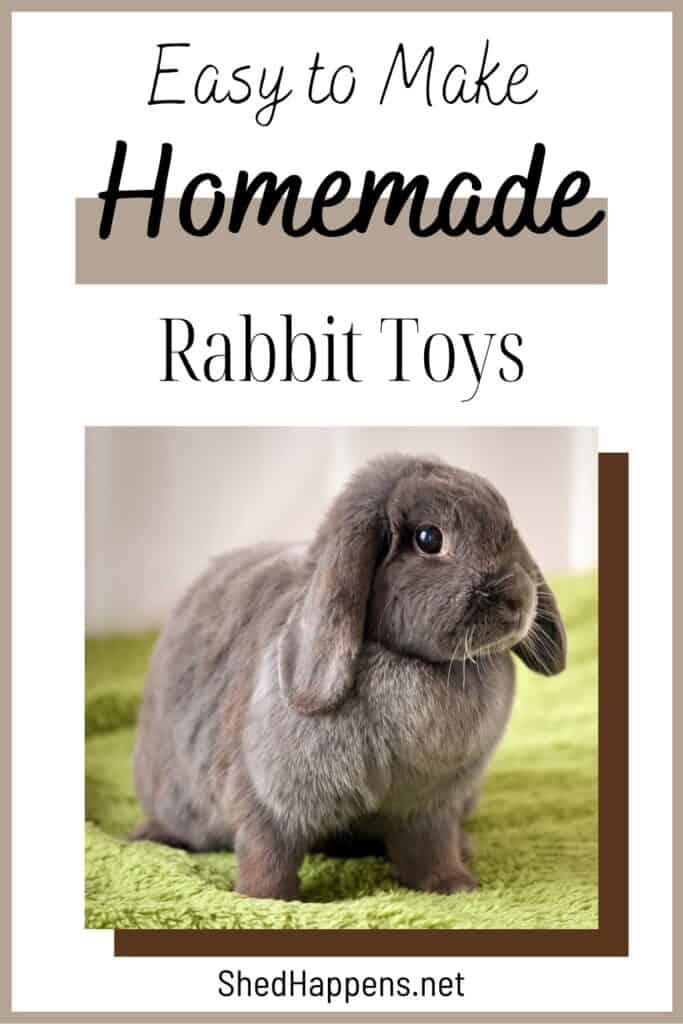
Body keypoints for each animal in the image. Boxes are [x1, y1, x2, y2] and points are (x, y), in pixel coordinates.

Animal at [131, 453, 566, 900]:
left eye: (509, 528)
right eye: (429, 538)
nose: (518, 601)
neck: (414, 662)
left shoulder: (430, 806)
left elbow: (430, 849)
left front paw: (454, 886)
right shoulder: (268, 800)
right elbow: (267, 852)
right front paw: (265, 899)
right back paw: (149, 835)